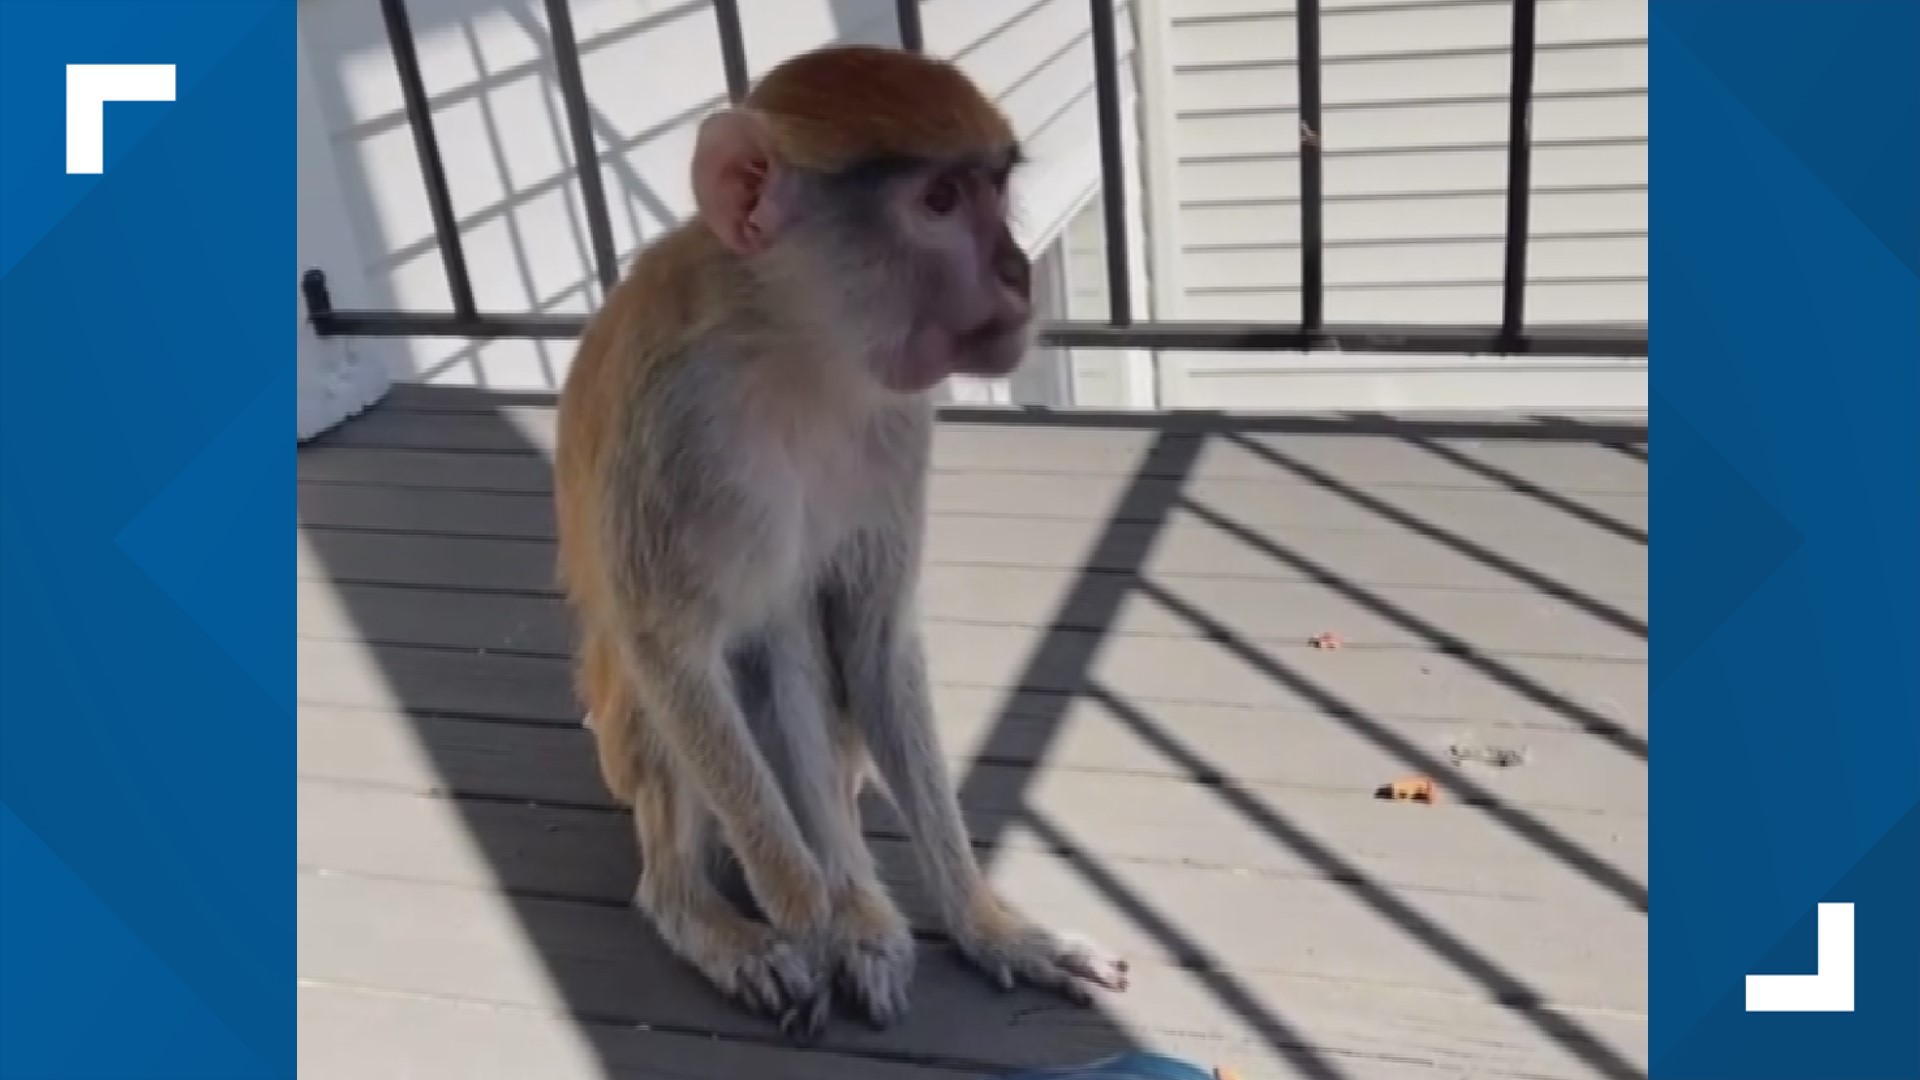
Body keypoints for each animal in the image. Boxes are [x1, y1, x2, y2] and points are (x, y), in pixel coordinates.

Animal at [552, 45, 1130, 1040]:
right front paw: (806, 914)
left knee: (790, 650)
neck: (795, 346)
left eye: (992, 189)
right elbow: (668, 646)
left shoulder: (896, 427)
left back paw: (858, 905)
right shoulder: (673, 428)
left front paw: (985, 925)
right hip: (624, 743)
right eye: (938, 201)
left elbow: (872, 645)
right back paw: (716, 911)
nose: (1016, 273)